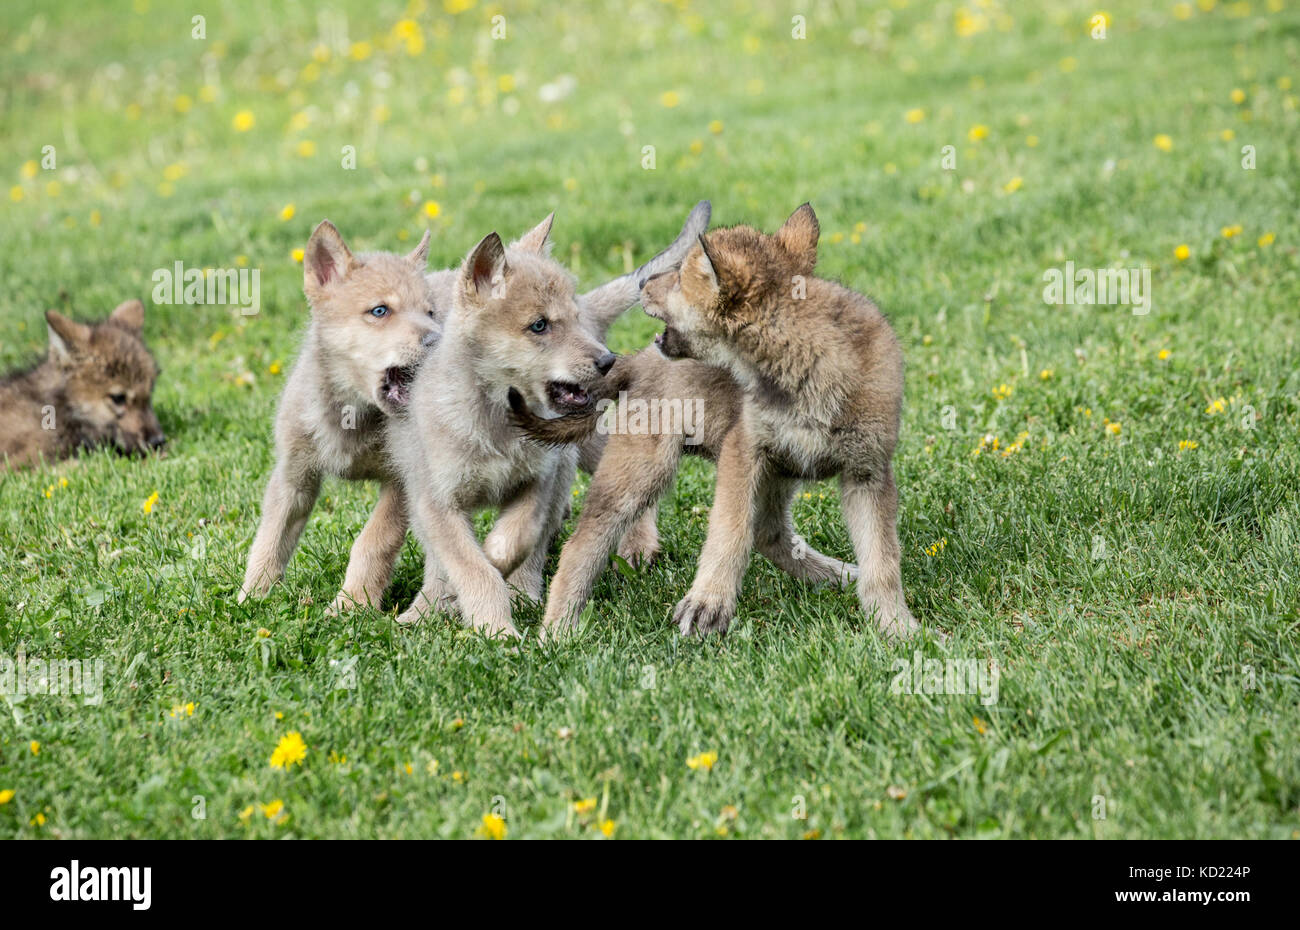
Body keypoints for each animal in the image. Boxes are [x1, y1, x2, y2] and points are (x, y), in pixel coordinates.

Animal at [389, 202, 711, 637]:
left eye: (571, 320)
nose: (608, 361)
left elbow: (515, 540)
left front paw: (499, 580)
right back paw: (422, 610)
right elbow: (470, 568)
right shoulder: (437, 502)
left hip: (584, 447)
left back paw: (627, 549)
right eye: (539, 325)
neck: (498, 424)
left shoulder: (539, 478)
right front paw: (496, 629)